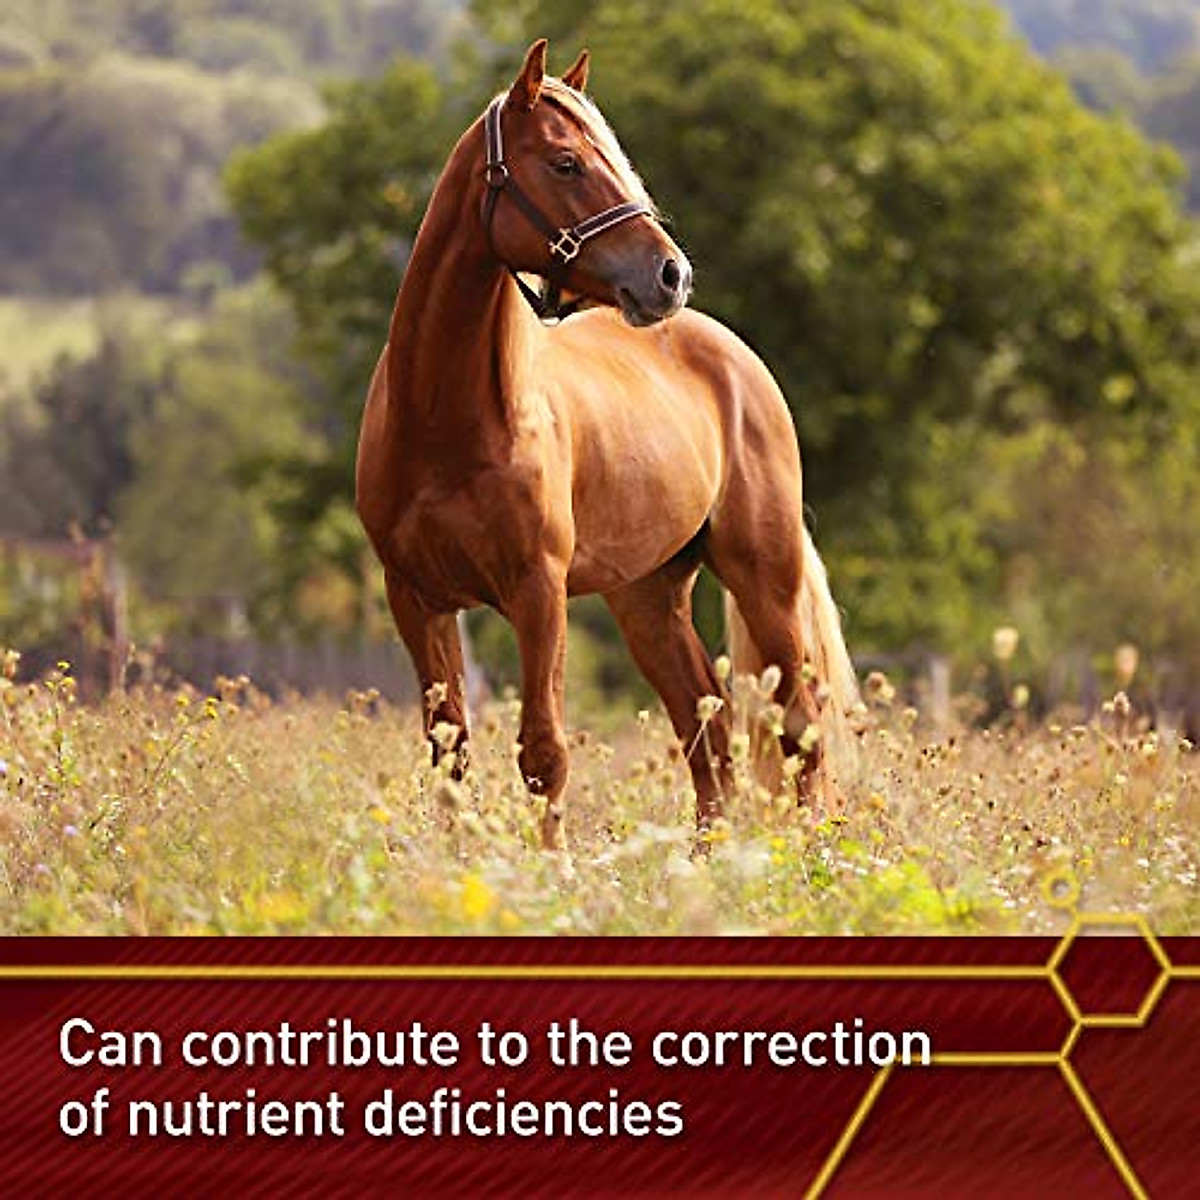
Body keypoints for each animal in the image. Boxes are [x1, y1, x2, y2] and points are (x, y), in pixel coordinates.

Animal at [356, 39, 858, 850]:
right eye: (565, 163)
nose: (670, 274)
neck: (444, 422)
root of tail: (735, 357)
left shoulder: (537, 591)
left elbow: (543, 753)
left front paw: (550, 868)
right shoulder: (416, 598)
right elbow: (449, 755)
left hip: (765, 579)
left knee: (798, 728)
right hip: (648, 598)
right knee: (707, 733)